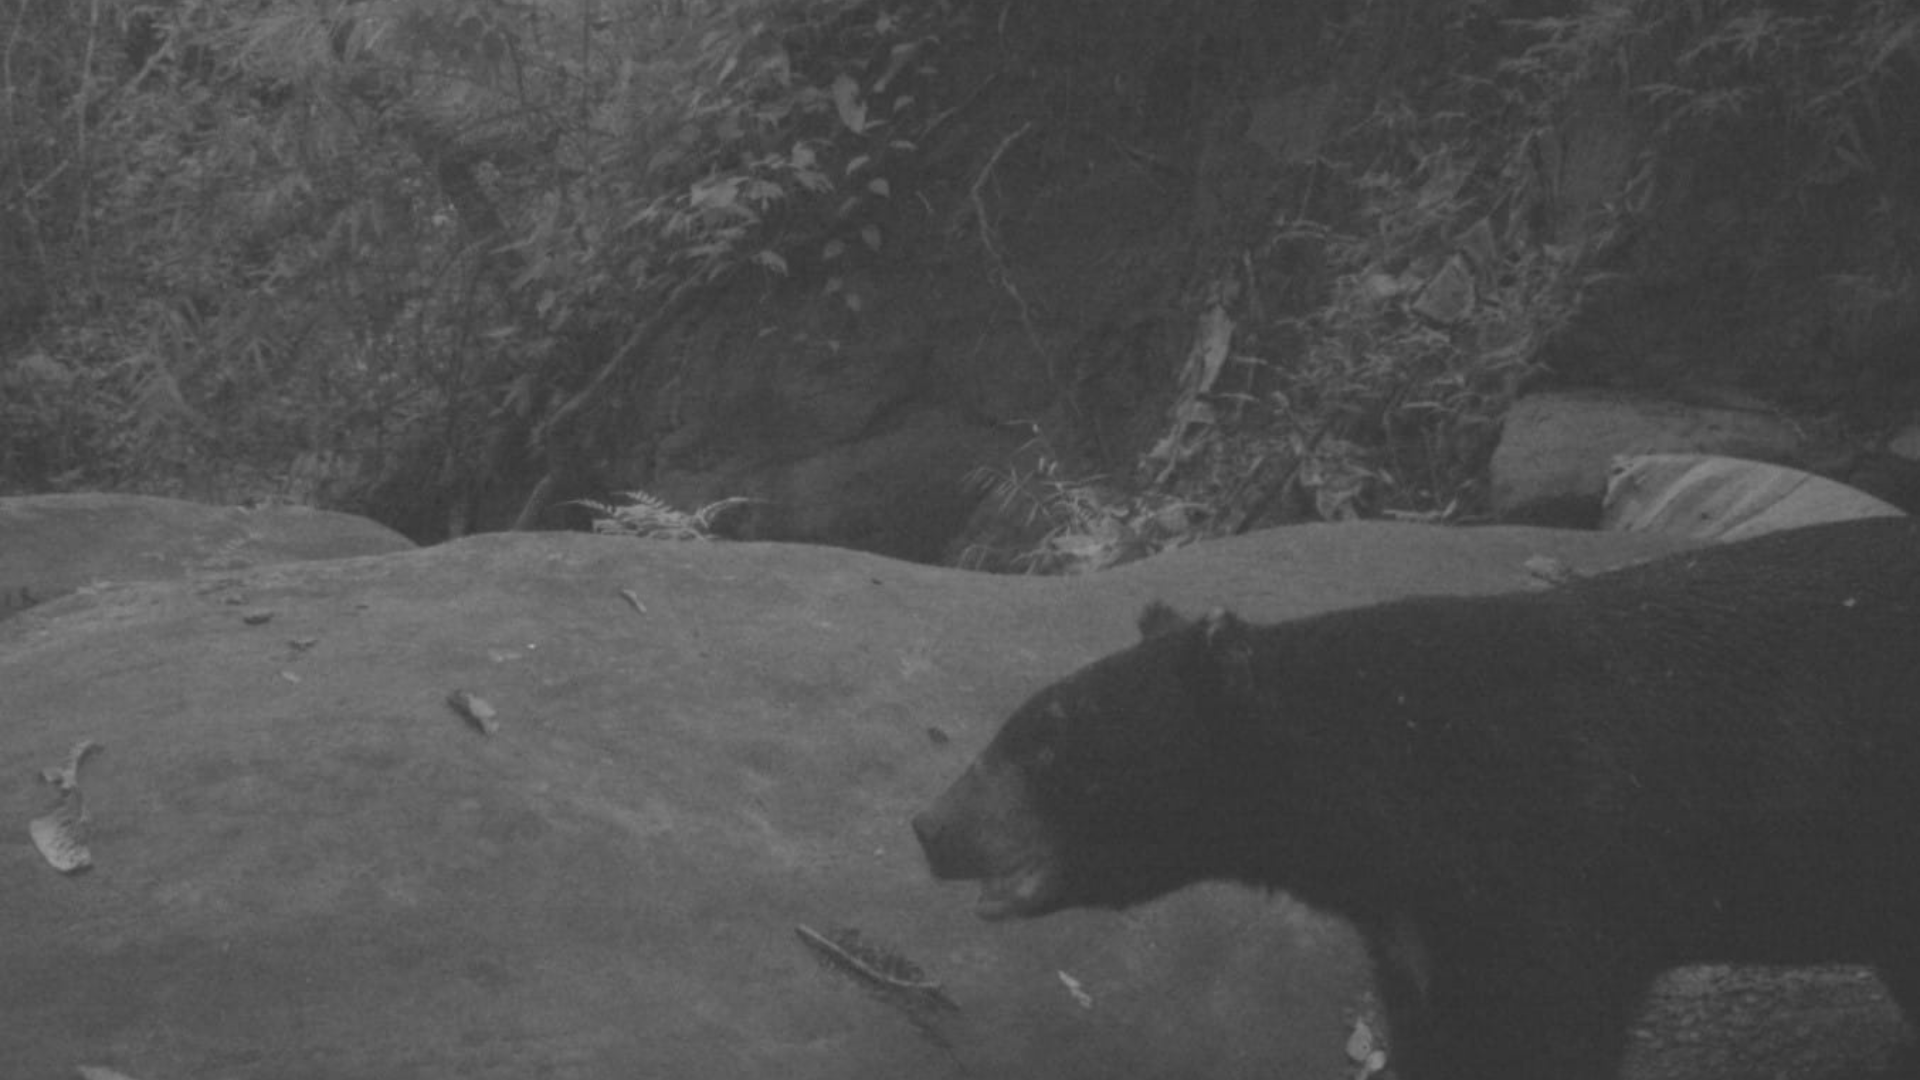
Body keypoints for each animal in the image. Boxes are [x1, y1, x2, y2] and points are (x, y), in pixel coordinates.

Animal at [912, 517, 1920, 1080]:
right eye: (1014, 729)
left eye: (1047, 743)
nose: (930, 827)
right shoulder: (1418, 922)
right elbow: (1439, 1030)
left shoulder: (1562, 874)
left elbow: (1547, 1029)